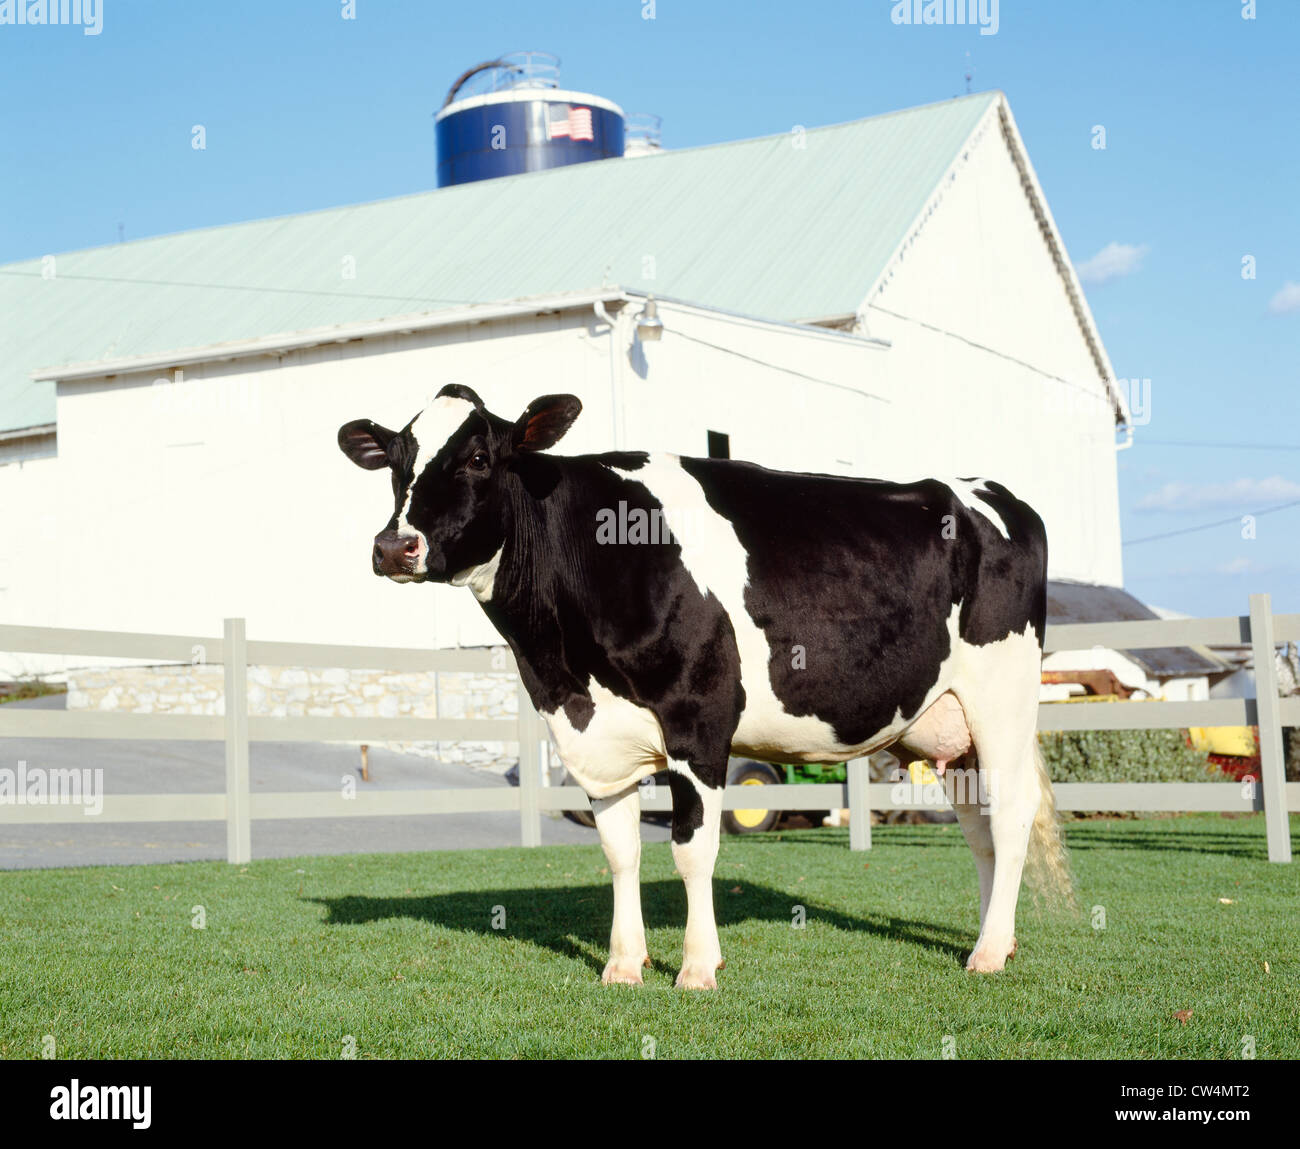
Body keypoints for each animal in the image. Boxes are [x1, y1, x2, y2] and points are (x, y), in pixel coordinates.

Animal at [338, 385, 1071, 988]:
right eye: (398, 462)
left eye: (480, 457)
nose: (394, 546)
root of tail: (986, 491)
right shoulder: (595, 737)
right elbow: (620, 851)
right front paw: (623, 965)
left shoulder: (699, 723)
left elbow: (692, 850)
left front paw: (695, 968)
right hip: (947, 725)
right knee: (979, 825)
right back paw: (994, 941)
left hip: (1002, 698)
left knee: (1010, 813)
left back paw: (987, 952)